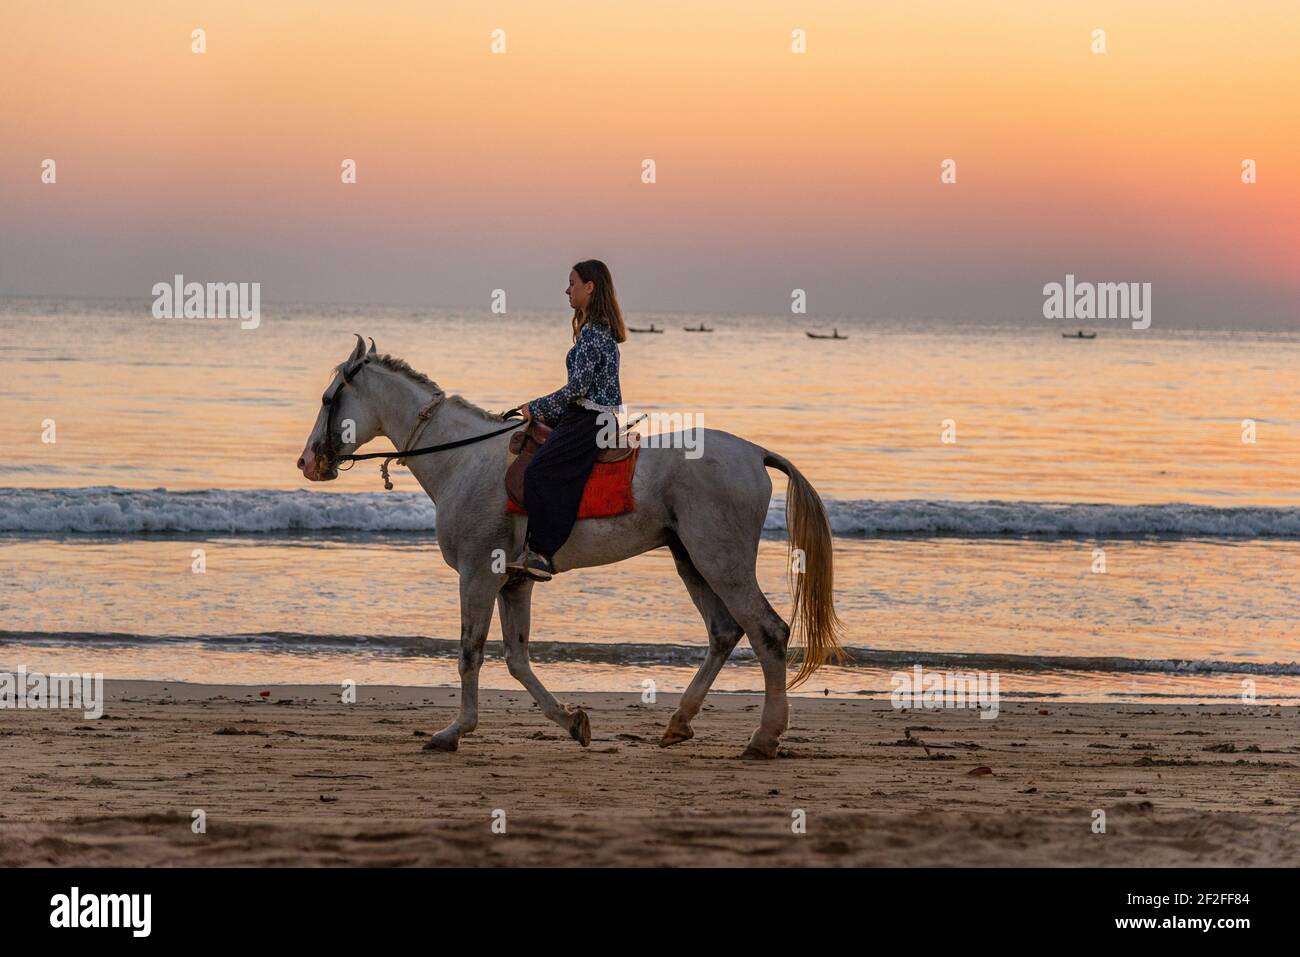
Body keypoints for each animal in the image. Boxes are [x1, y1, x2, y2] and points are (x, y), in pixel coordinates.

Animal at [297, 335, 845, 758]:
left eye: (327, 399)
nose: (307, 462)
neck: (463, 461)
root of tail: (755, 453)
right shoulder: (514, 583)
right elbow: (517, 659)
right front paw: (571, 721)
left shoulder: (478, 575)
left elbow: (470, 653)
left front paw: (454, 732)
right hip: (690, 559)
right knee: (724, 632)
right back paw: (678, 724)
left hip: (721, 561)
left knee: (767, 631)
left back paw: (763, 738)